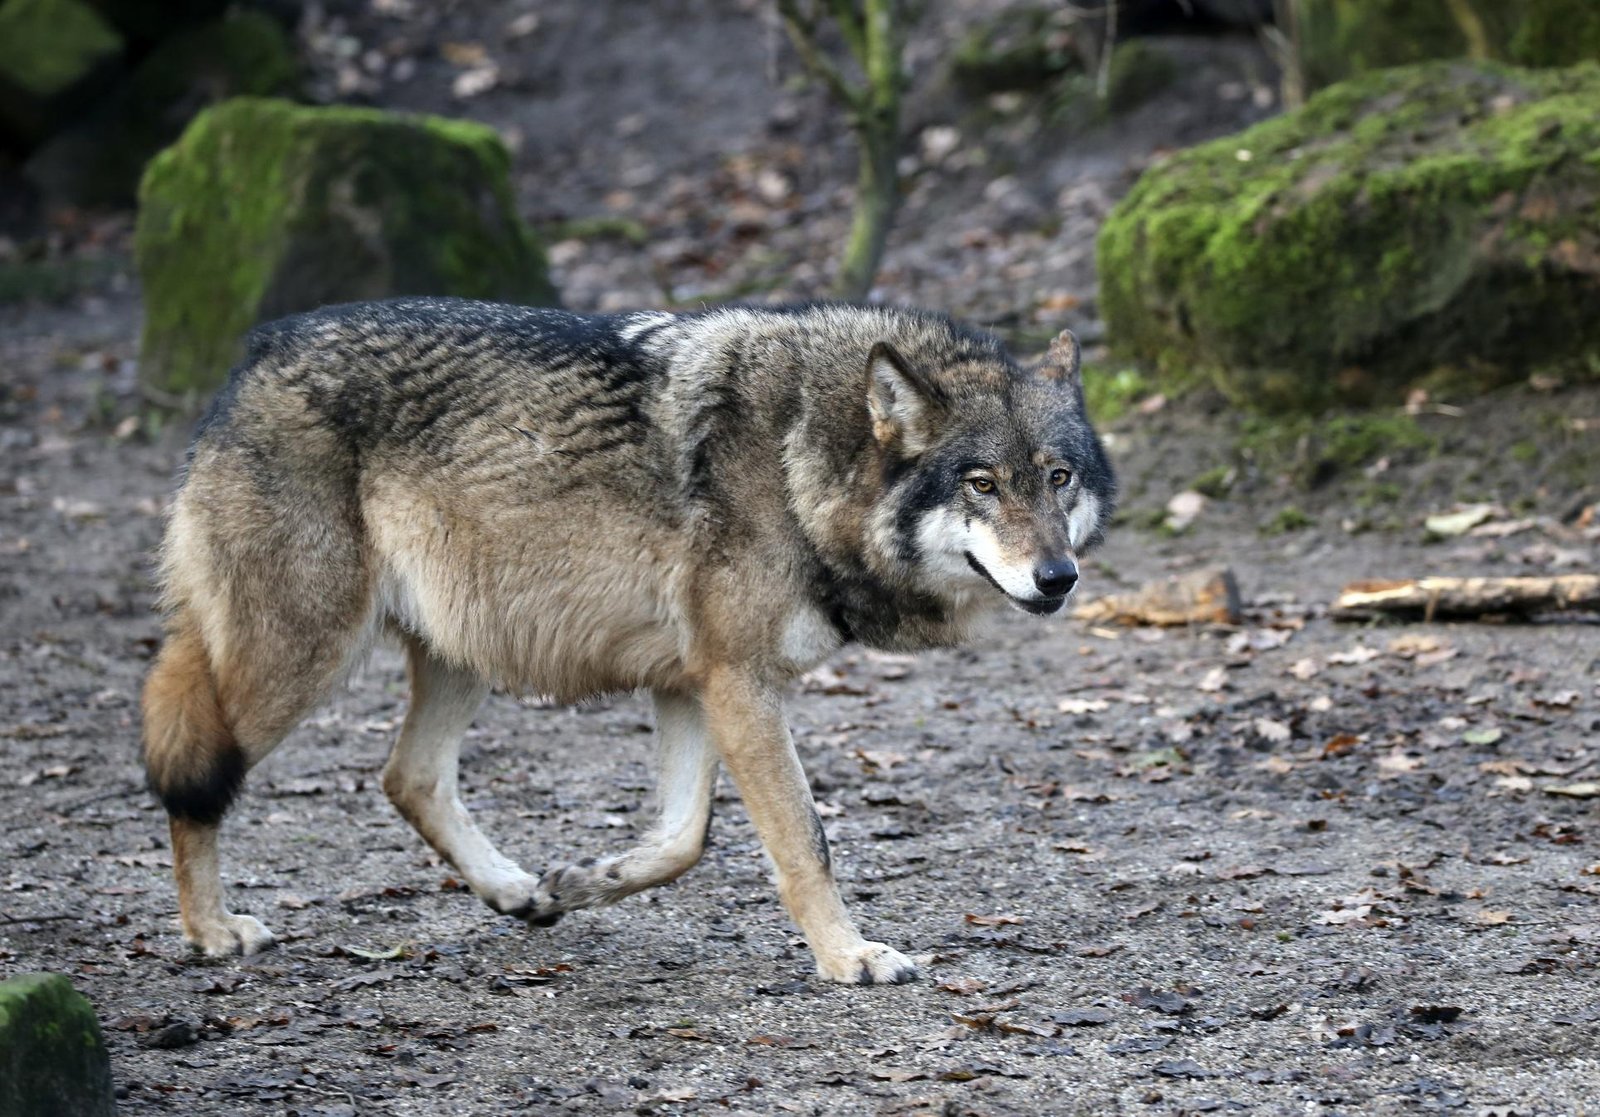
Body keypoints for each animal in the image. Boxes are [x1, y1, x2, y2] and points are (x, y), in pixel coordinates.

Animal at [140, 298, 1114, 984]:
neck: (805, 461)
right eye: (982, 483)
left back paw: (512, 889)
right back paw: (209, 930)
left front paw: (578, 883)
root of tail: (253, 355)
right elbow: (805, 842)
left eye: (1058, 478)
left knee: (405, 776)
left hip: (459, 652)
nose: (1057, 577)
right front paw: (850, 956)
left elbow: (681, 840)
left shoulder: (694, 683)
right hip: (297, 660)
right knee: (194, 778)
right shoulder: (737, 681)